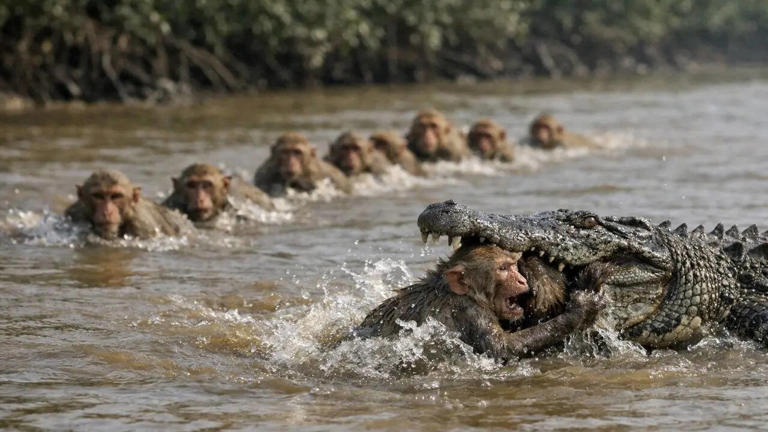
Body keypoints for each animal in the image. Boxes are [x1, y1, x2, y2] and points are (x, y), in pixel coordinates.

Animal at [355, 243, 603, 362]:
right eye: (503, 268)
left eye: (513, 265)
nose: (522, 280)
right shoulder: (469, 312)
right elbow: (503, 350)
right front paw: (582, 310)